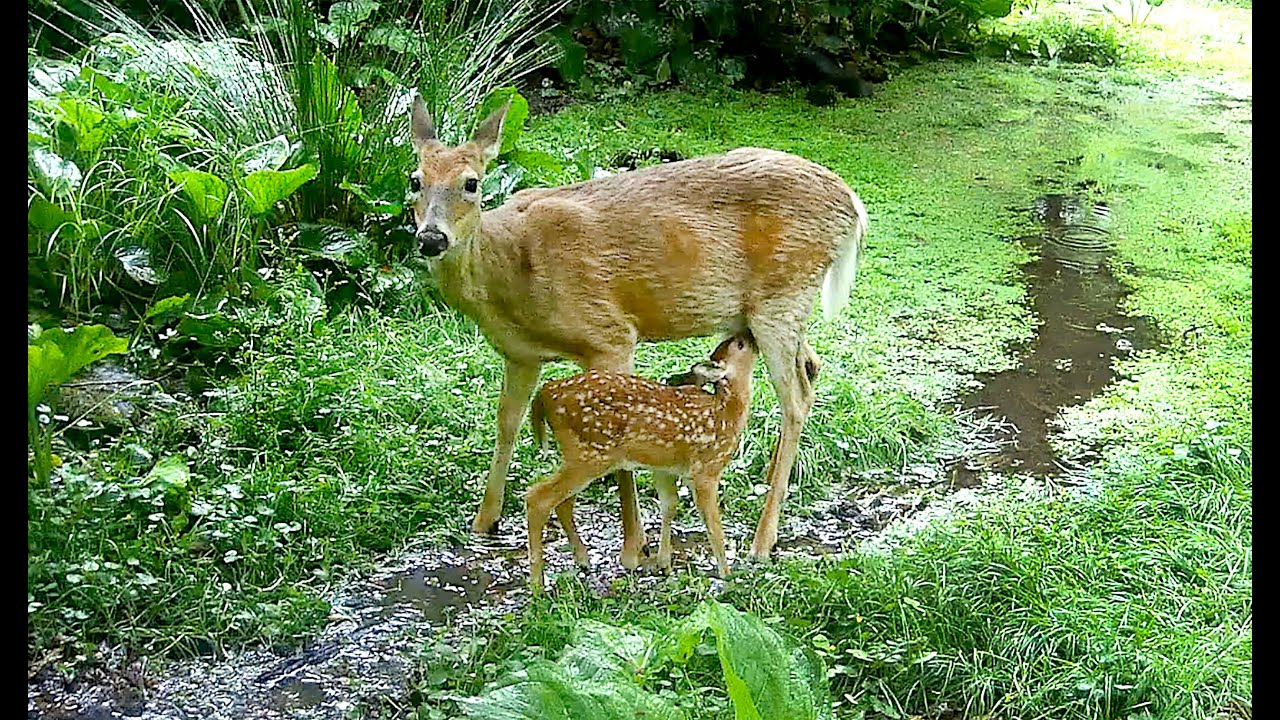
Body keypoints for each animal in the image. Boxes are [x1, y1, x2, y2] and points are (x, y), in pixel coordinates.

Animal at [524, 333, 759, 591]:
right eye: (740, 345)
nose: (750, 335)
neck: (726, 413)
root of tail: (545, 394)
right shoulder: (706, 470)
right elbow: (715, 527)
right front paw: (728, 577)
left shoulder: (665, 467)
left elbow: (669, 504)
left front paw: (664, 564)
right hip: (589, 455)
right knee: (538, 497)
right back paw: (537, 584)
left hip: (581, 456)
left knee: (561, 502)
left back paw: (582, 560)